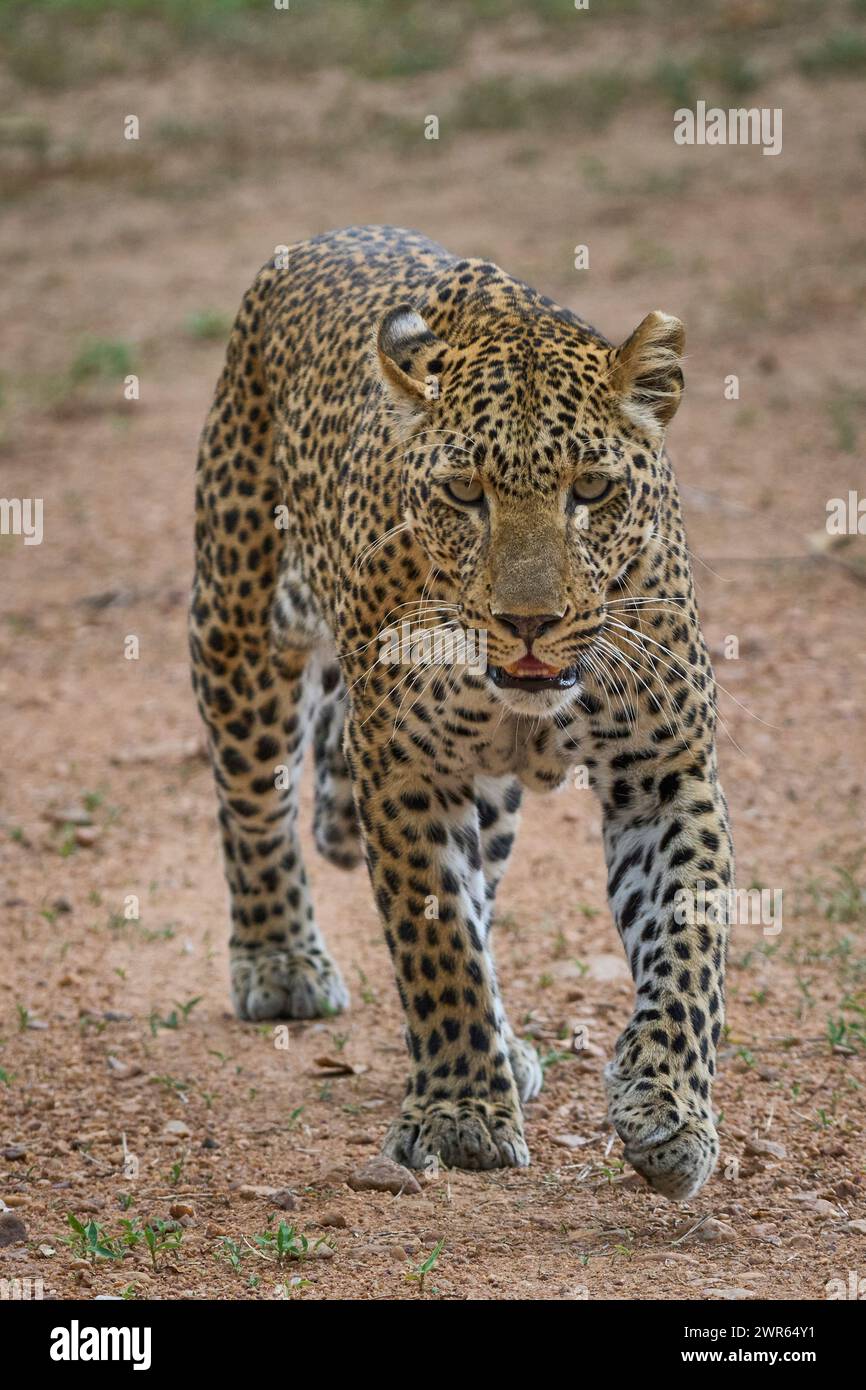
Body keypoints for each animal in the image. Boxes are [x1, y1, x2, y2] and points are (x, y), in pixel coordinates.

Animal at [189, 225, 734, 1200]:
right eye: (464, 494)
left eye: (591, 490)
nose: (529, 622)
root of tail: (323, 237)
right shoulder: (405, 767)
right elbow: (436, 945)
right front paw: (461, 1116)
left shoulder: (665, 767)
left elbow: (688, 937)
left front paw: (669, 1108)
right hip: (238, 625)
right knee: (253, 806)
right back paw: (280, 959)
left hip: (494, 794)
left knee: (485, 881)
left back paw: (513, 1045)